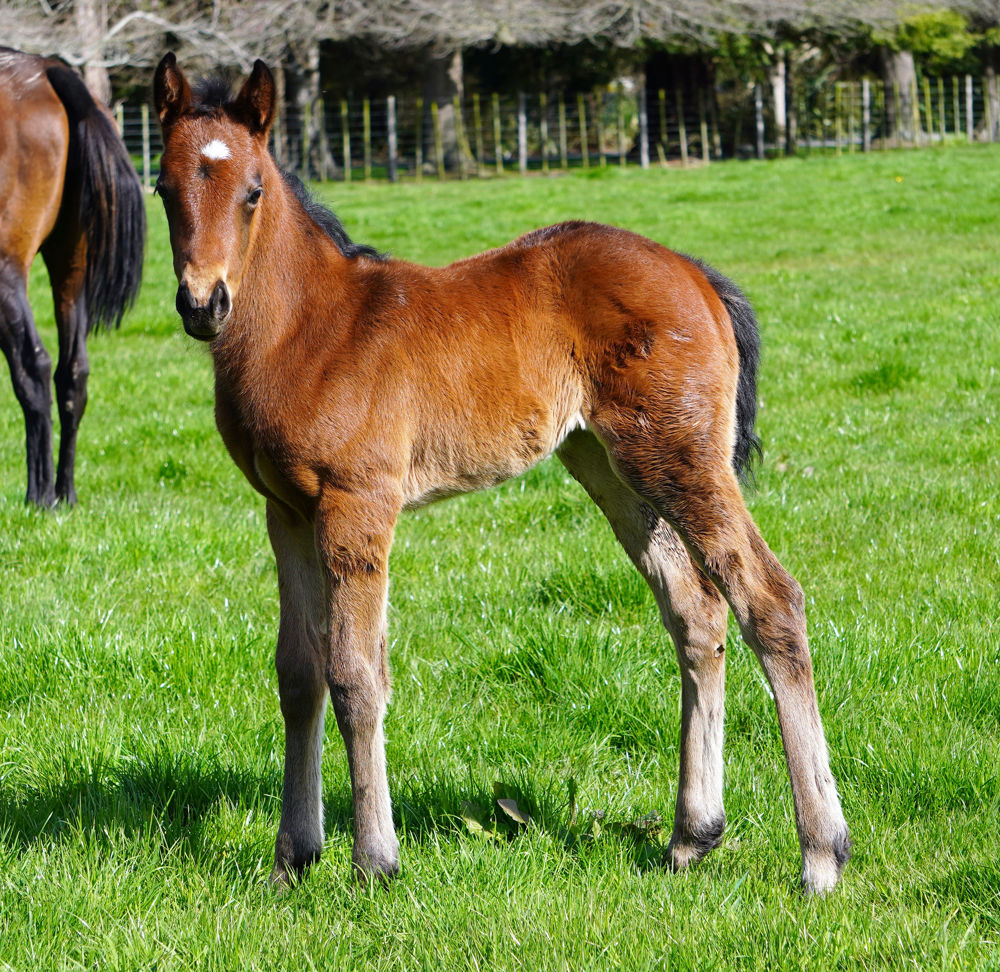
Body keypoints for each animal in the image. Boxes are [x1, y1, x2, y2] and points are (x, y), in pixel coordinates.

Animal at [0, 48, 145, 506]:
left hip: (6, 271)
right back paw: (65, 492)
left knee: (34, 366)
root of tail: (48, 69)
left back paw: (40, 493)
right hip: (72, 267)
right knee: (73, 373)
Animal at [153, 52, 850, 895]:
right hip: (613, 467)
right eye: (163, 188)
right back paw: (692, 835)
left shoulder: (358, 505)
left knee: (769, 600)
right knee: (697, 612)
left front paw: (374, 860)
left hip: (680, 457)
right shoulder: (284, 510)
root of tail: (694, 273)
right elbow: (298, 673)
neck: (309, 328)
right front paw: (294, 857)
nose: (203, 302)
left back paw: (821, 853)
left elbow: (356, 676)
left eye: (251, 191)